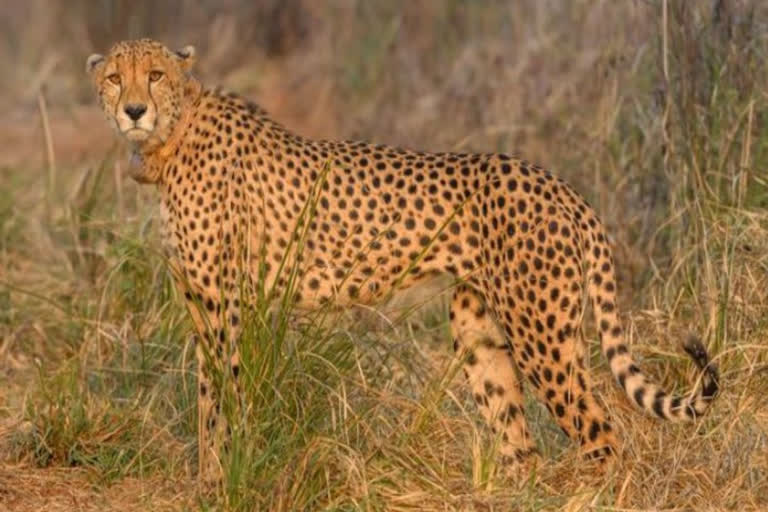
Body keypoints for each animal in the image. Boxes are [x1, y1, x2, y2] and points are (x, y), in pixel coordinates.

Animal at [86, 39, 719, 482]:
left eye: (155, 75)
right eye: (115, 78)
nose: (134, 109)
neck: (171, 135)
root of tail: (558, 183)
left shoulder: (225, 306)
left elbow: (222, 398)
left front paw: (224, 479)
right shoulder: (200, 303)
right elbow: (205, 399)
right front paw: (209, 479)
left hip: (543, 336)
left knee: (601, 433)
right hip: (477, 331)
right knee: (523, 445)